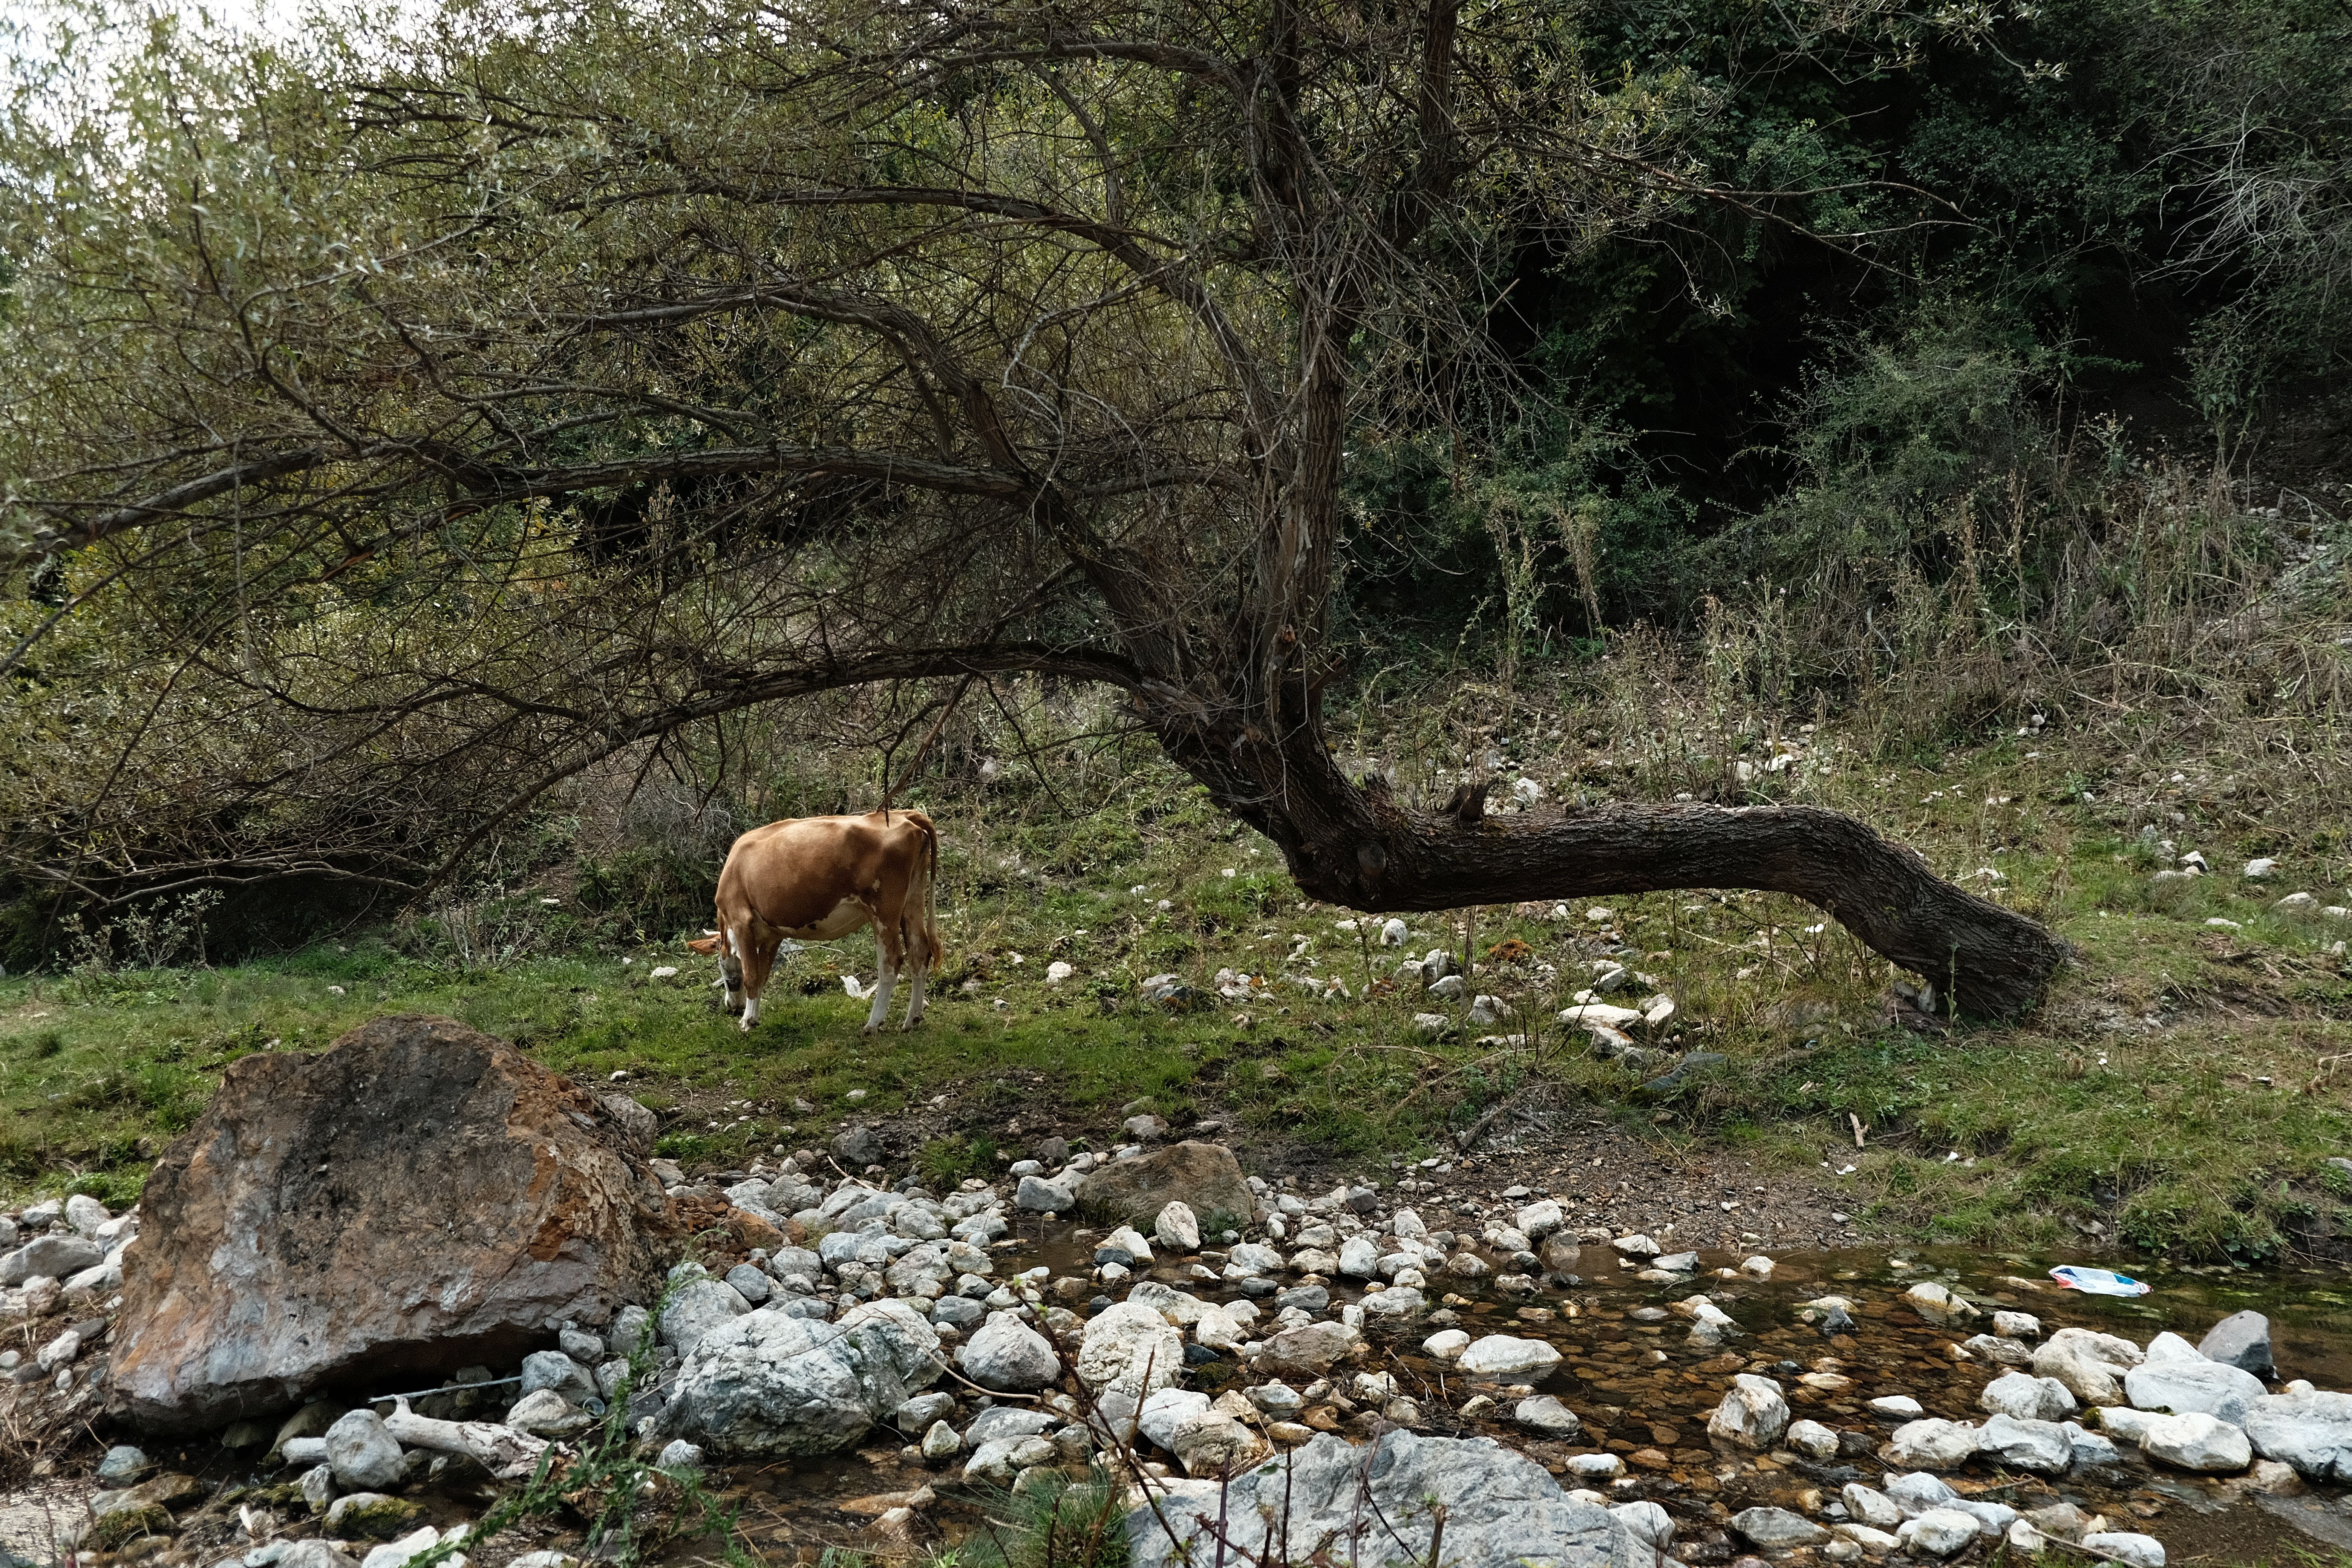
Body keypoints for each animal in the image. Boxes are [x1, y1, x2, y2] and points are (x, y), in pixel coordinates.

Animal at [684, 809, 941, 1033]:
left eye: (720, 967)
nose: (731, 1006)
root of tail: (904, 814)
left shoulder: (741, 920)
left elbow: (751, 976)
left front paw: (747, 1021)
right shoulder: (772, 935)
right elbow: (762, 976)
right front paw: (754, 1017)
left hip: (884, 910)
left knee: (891, 962)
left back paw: (872, 1024)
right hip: (913, 901)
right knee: (919, 952)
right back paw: (912, 1020)